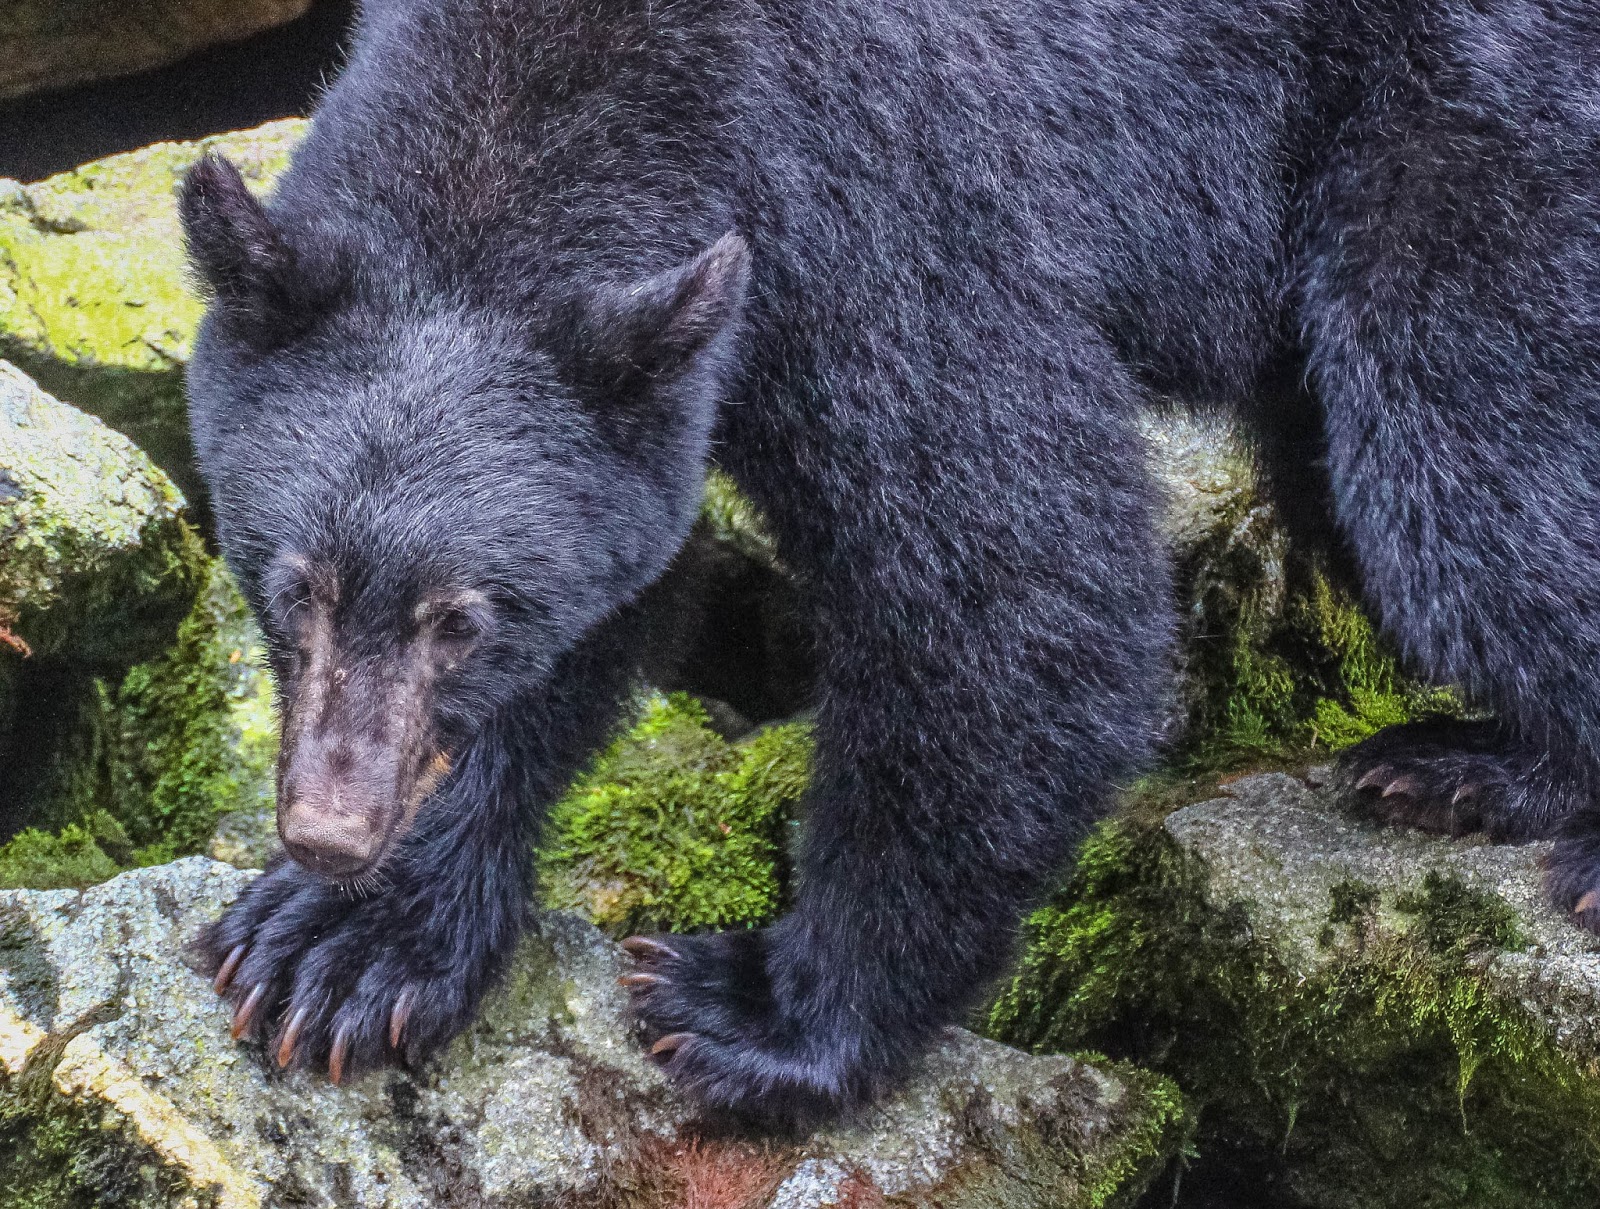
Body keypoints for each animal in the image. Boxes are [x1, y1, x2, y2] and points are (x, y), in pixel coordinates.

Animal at [178, 0, 1600, 1123]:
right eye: (291, 587)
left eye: (461, 619)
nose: (328, 832)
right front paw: (342, 949)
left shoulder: (868, 196)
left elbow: (1012, 575)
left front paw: (759, 1015)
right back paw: (1474, 766)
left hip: (1466, 134)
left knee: (1463, 461)